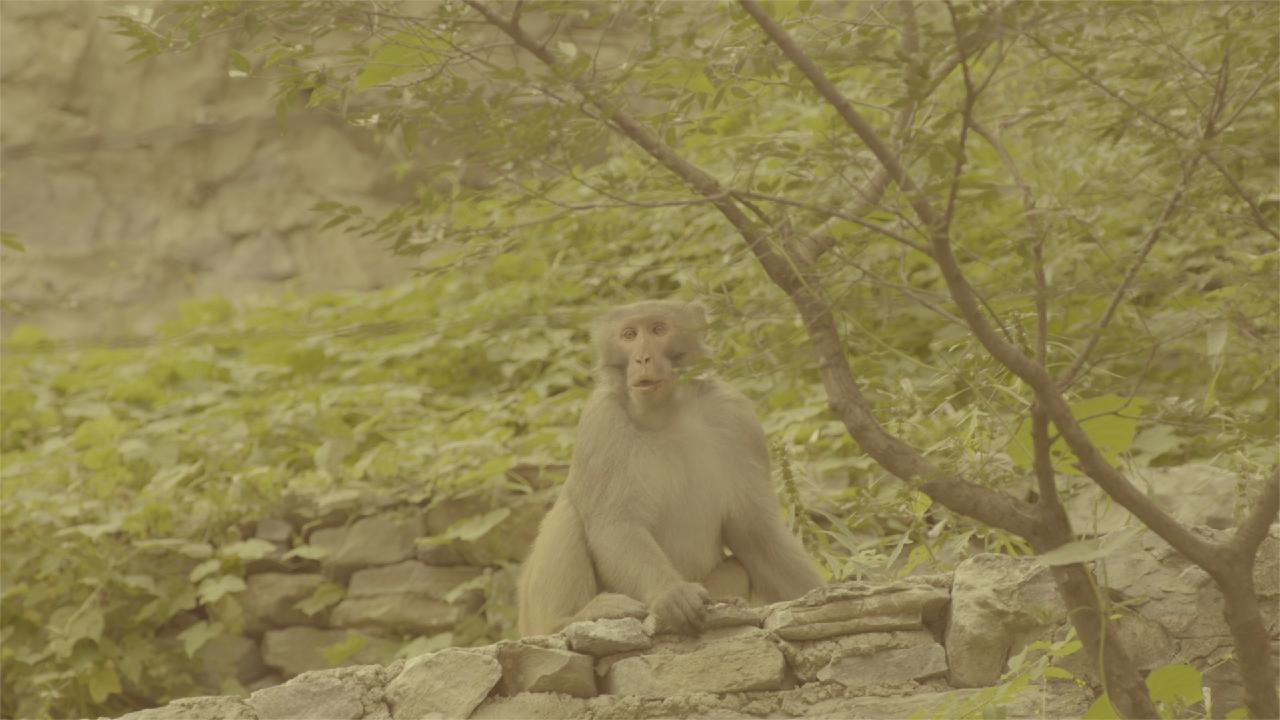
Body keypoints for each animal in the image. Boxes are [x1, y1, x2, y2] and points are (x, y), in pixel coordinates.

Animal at [517, 300, 824, 636]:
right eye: (629, 334)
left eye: (658, 329)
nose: (642, 358)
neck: (664, 412)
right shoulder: (601, 420)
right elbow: (615, 523)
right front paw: (670, 593)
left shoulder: (737, 418)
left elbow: (755, 532)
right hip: (533, 617)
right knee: (571, 512)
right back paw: (569, 618)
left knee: (739, 567)